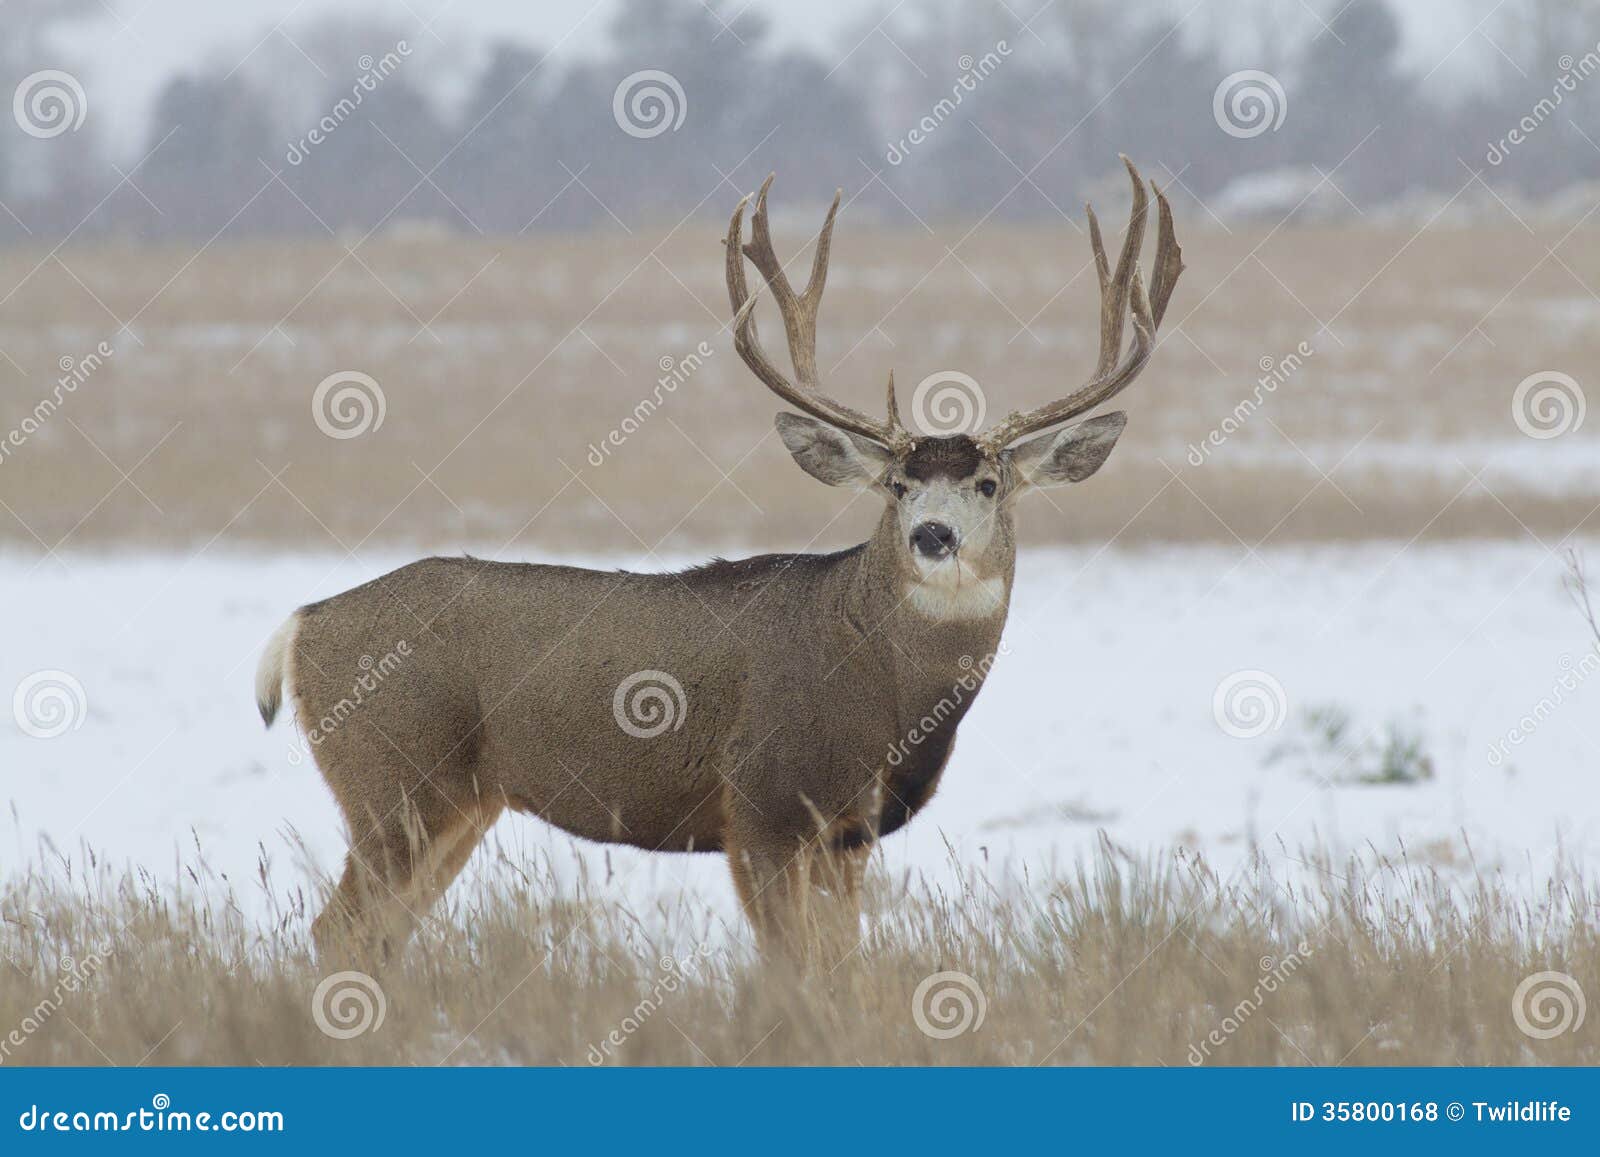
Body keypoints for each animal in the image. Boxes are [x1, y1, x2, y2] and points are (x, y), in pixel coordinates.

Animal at [255, 156, 1181, 965]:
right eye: (897, 484)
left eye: (989, 482)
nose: (932, 535)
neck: (881, 689)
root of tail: (303, 623)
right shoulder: (761, 807)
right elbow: (792, 968)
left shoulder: (847, 835)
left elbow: (842, 963)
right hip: (394, 780)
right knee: (339, 929)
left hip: (458, 805)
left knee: (379, 933)